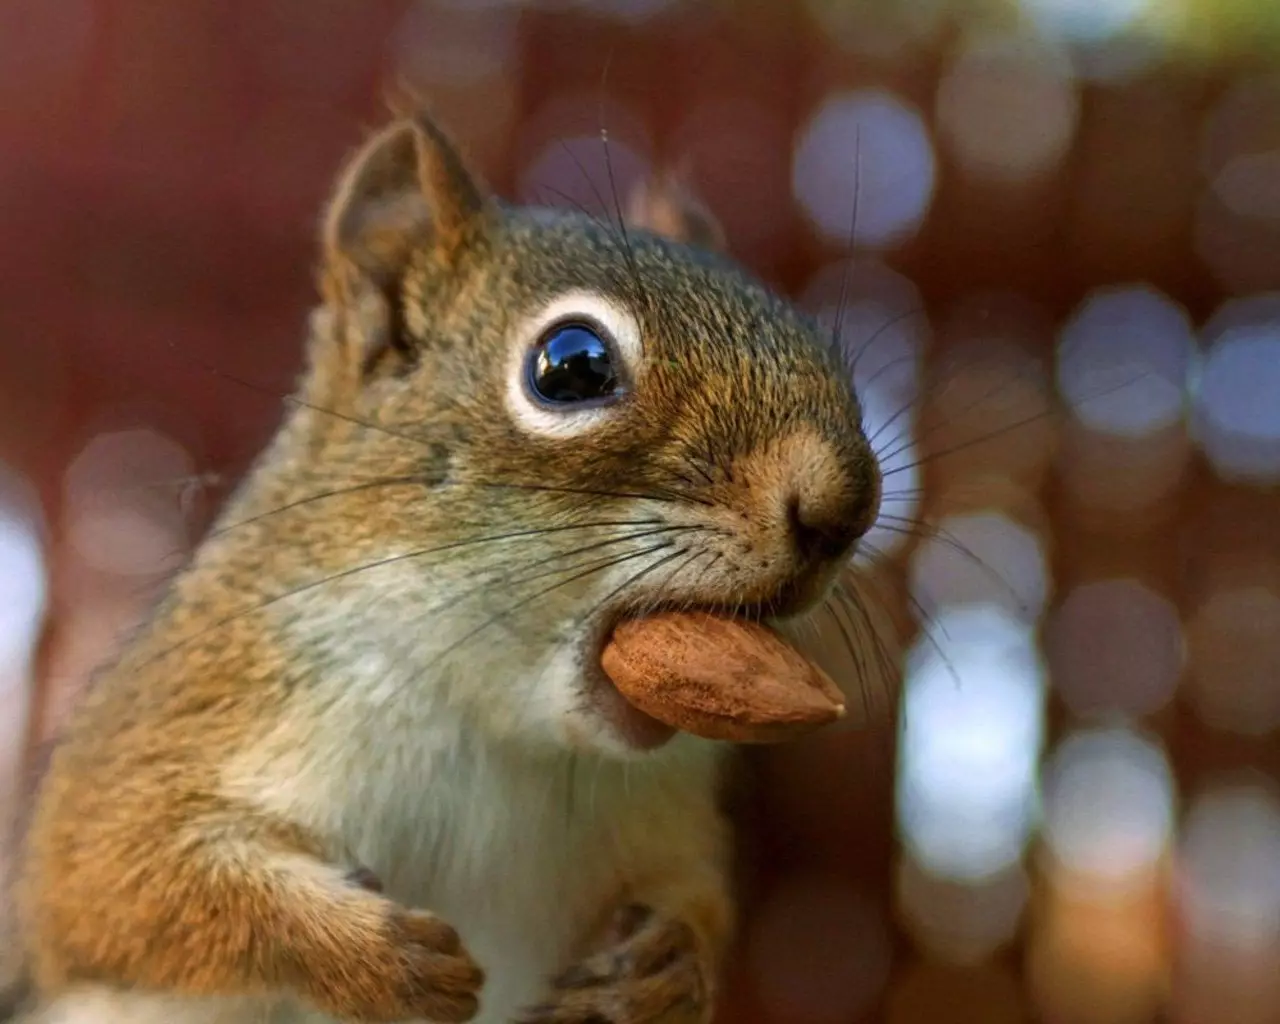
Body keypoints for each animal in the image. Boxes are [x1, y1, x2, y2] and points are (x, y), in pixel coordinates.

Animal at [7, 106, 880, 1024]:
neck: (505, 728)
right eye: (573, 365)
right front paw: (371, 954)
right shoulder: (185, 718)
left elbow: (699, 899)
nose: (844, 506)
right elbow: (110, 877)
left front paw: (673, 961)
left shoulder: (670, 819)